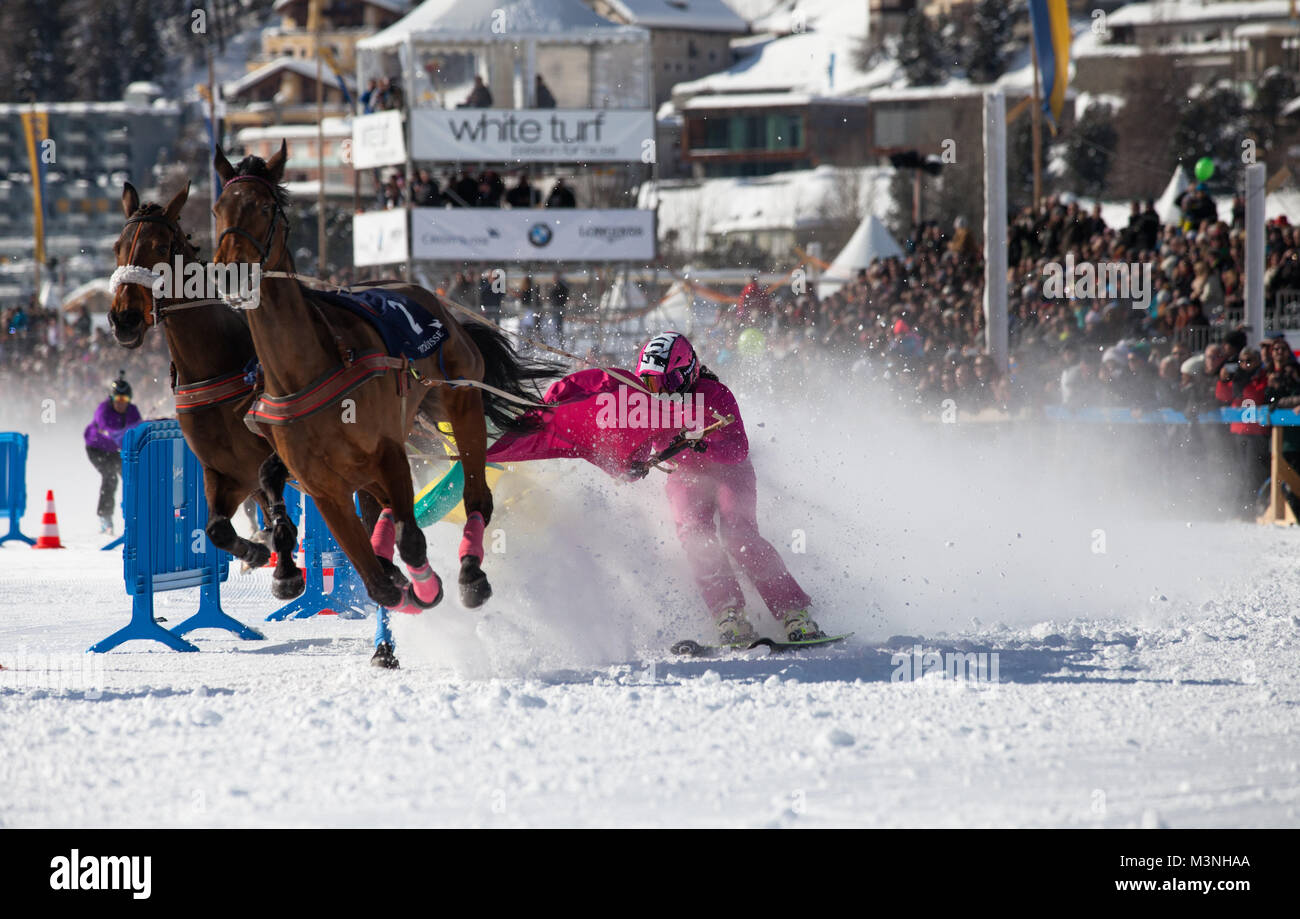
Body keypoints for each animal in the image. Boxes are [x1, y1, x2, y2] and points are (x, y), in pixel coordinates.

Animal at [106, 181, 304, 597]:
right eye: (118, 245)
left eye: (161, 246)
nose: (124, 319)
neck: (216, 365)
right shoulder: (228, 471)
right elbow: (218, 530)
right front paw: (257, 551)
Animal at [211, 141, 553, 655]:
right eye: (218, 209)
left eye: (266, 207)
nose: (231, 274)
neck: (306, 369)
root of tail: (429, 296)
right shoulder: (323, 487)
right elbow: (376, 579)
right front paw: (396, 589)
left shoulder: (387, 452)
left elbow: (410, 543)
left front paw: (424, 586)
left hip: (459, 403)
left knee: (476, 497)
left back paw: (470, 575)